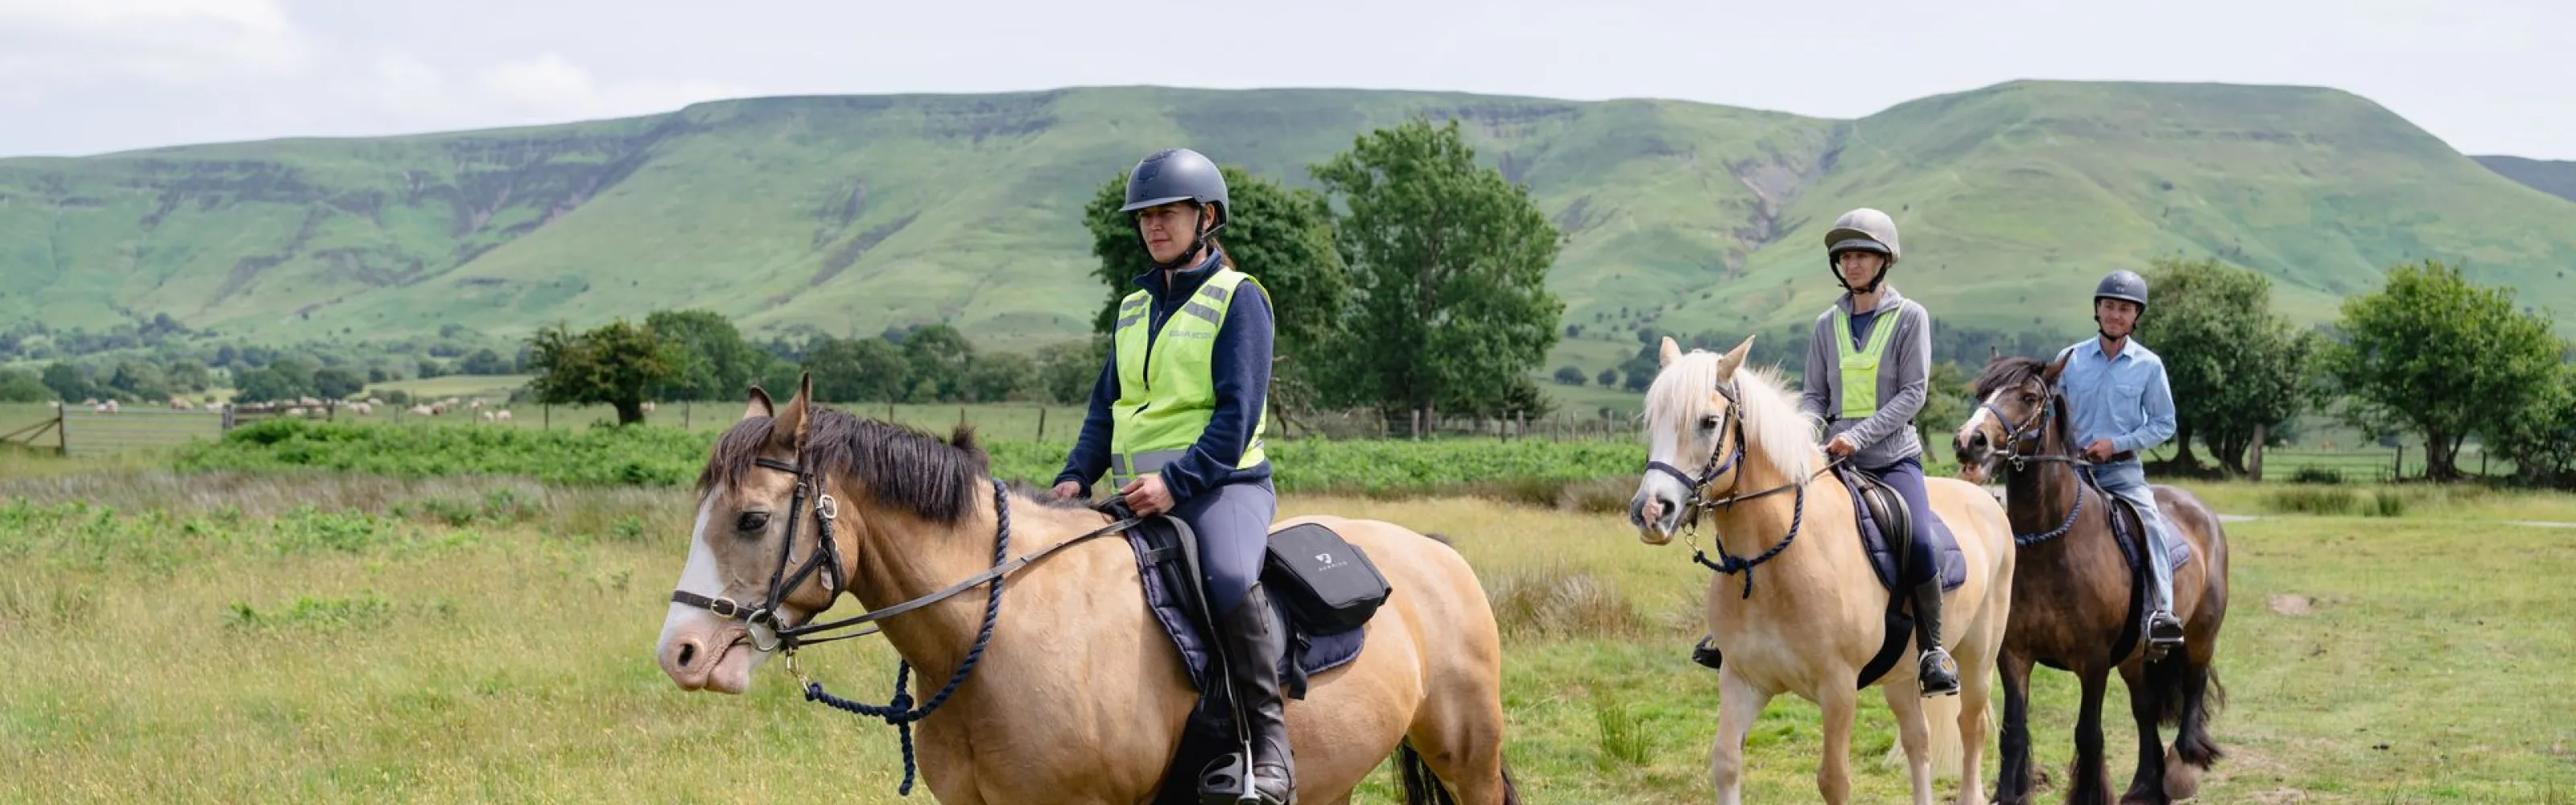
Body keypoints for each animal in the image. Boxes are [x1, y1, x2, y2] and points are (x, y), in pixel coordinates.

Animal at [1627, 336, 2015, 805]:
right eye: (1654, 421)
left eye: (1708, 421)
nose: (1651, 512)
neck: (1771, 567)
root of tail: (1985, 501)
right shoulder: (1742, 680)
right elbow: (1725, 762)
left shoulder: (1839, 689)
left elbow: (1834, 779)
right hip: (1902, 674)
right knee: (1917, 741)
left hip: (1978, 658)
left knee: (1971, 729)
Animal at [1952, 355, 2231, 805]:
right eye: (1982, 393)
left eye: (2028, 397)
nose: (1969, 441)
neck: (2052, 544)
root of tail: (2199, 509)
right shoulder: (2014, 655)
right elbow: (2014, 734)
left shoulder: (2094, 660)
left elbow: (2088, 734)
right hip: (2136, 657)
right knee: (2145, 708)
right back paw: (2145, 784)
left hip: (2201, 632)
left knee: (2194, 682)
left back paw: (2184, 766)